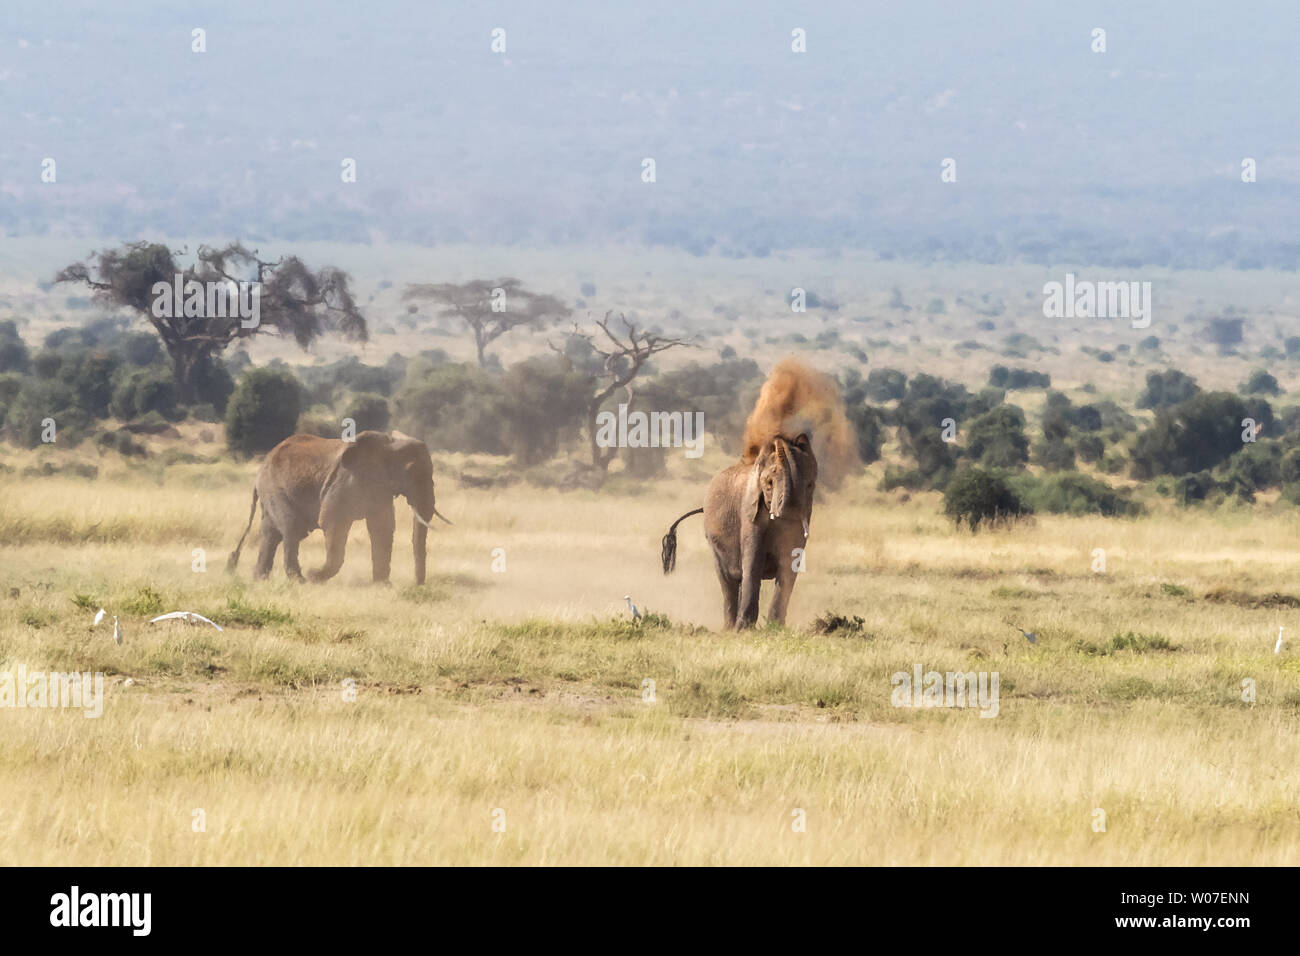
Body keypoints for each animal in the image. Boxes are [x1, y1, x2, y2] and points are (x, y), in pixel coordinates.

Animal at [227, 429, 451, 584]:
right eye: (411, 471)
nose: (417, 585)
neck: (389, 445)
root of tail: (261, 468)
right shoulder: (344, 482)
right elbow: (332, 521)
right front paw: (314, 576)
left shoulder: (379, 488)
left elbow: (382, 528)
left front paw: (383, 585)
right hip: (276, 490)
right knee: (291, 529)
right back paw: (299, 580)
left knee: (271, 533)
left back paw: (260, 580)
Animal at [661, 433, 817, 629]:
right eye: (769, 484)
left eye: (810, 486)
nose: (779, 438)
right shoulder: (748, 513)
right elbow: (753, 561)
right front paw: (744, 630)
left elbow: (789, 564)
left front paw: (774, 628)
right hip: (712, 538)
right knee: (728, 580)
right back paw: (729, 629)